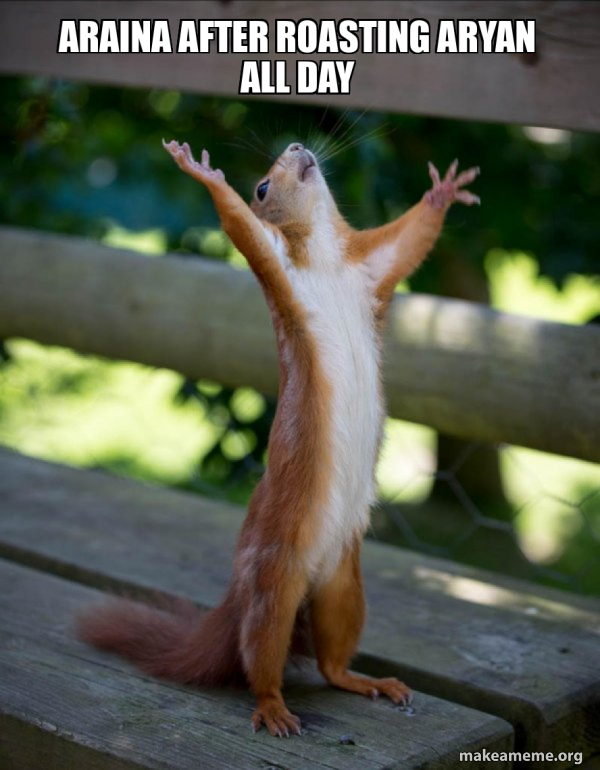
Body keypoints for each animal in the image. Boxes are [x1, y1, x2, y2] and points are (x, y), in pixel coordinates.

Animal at [77, 138, 479, 738]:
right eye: (262, 187)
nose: (296, 147)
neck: (327, 257)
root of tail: (239, 595)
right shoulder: (277, 266)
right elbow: (240, 226)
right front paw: (204, 174)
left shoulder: (372, 267)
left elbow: (409, 240)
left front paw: (443, 192)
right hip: (273, 585)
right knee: (260, 658)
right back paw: (273, 708)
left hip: (344, 586)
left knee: (332, 661)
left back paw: (368, 681)